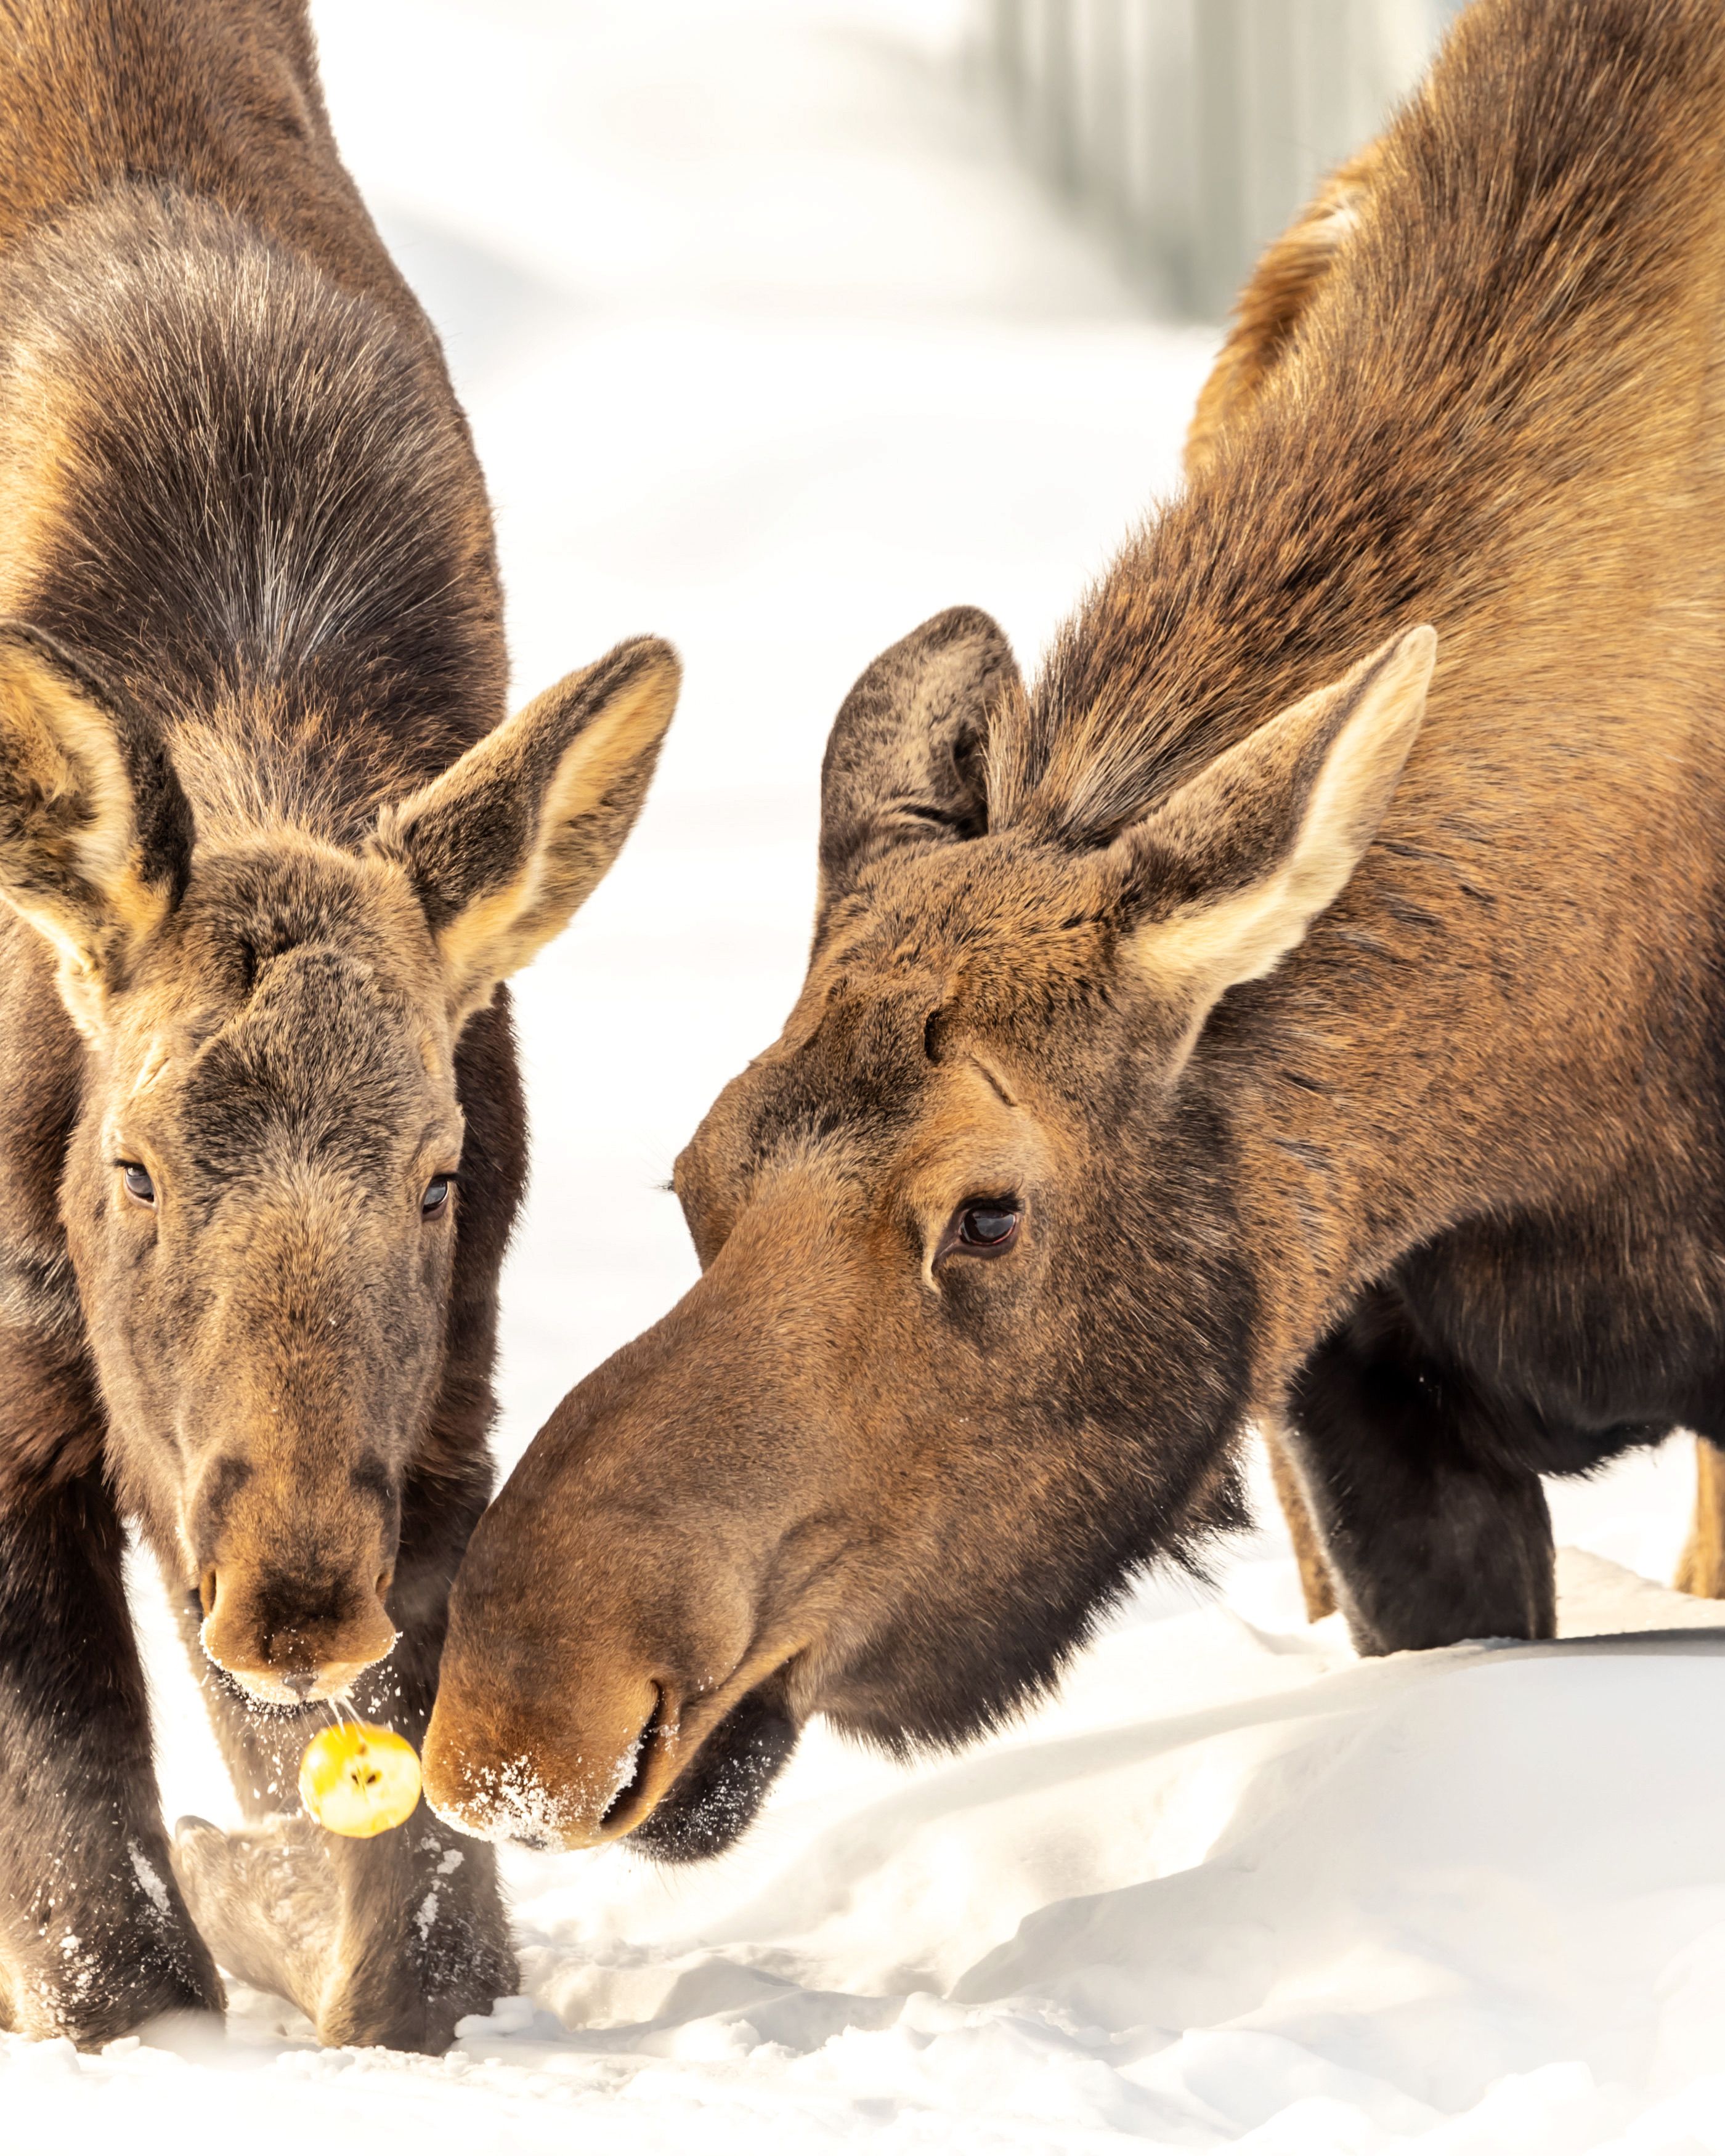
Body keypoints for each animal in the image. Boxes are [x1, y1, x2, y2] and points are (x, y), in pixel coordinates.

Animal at [0, 0, 678, 2049]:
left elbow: (428, 1902)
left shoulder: (445, 1390)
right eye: (131, 1165)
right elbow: (99, 1911)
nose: (300, 1587)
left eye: (437, 1174)